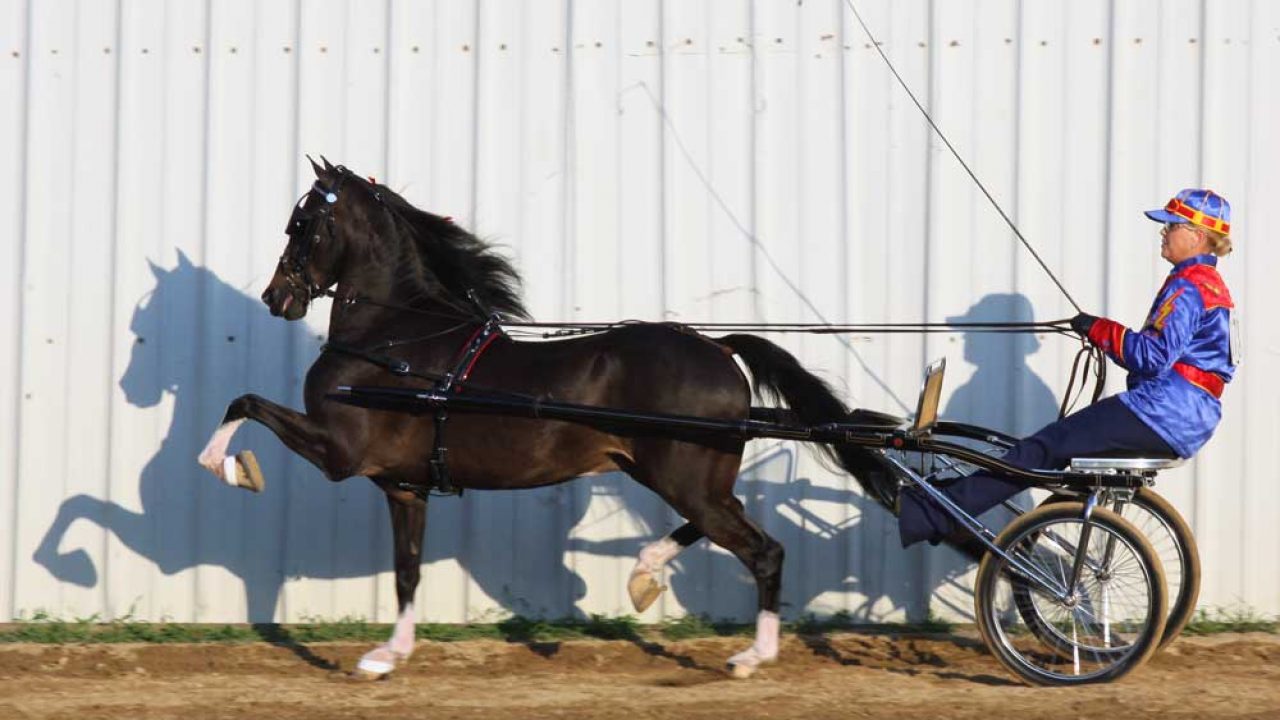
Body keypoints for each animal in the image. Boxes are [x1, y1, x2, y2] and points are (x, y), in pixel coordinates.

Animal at [197, 157, 900, 678]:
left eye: (302, 222)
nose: (276, 297)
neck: (393, 341)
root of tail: (718, 349)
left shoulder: (339, 453)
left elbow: (243, 403)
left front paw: (232, 467)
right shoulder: (402, 487)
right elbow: (407, 572)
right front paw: (386, 656)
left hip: (686, 477)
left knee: (763, 550)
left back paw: (753, 655)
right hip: (687, 477)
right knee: (715, 528)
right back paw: (645, 576)